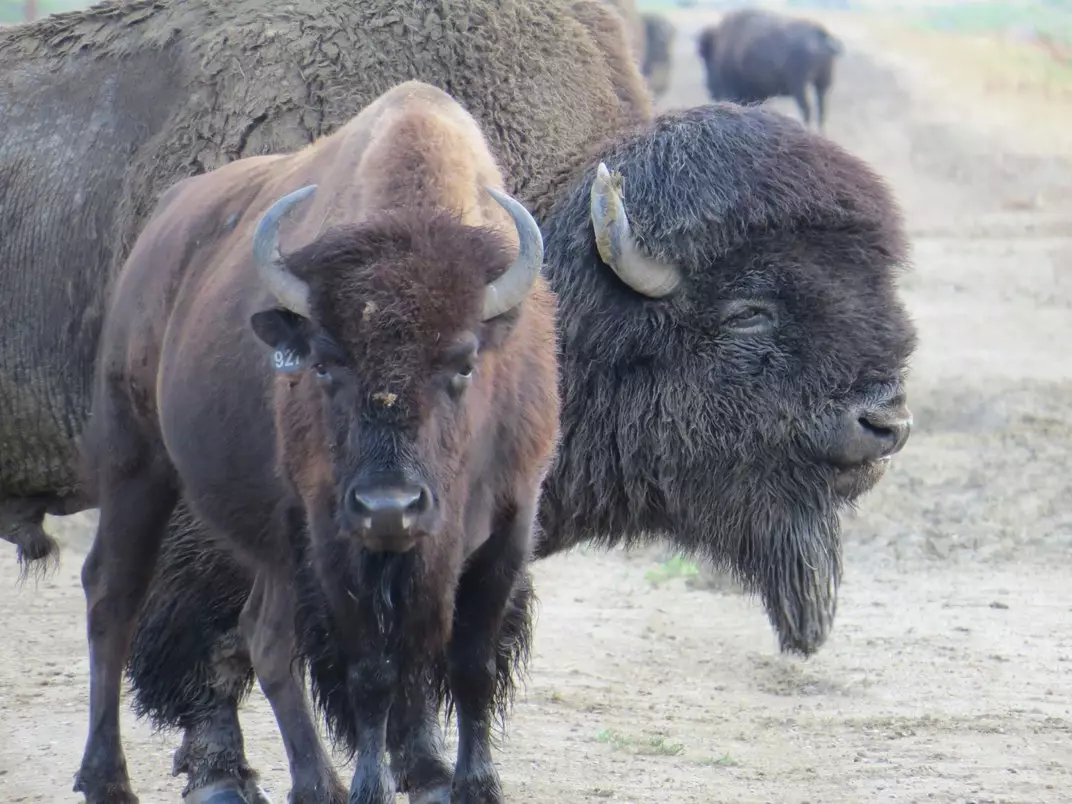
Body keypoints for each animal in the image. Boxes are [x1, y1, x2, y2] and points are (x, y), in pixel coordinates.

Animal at [76, 80, 561, 804]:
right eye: (326, 363)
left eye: (465, 363)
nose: (390, 506)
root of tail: (163, 224)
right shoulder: (334, 529)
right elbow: (371, 671)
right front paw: (373, 787)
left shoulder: (510, 518)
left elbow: (467, 661)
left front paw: (468, 784)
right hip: (135, 458)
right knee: (114, 594)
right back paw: (107, 778)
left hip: (272, 539)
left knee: (265, 633)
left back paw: (316, 782)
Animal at [698, 9, 849, 130]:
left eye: (706, 58)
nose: (710, 89)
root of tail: (818, 32)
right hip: (821, 84)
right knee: (821, 111)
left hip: (799, 86)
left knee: (807, 109)